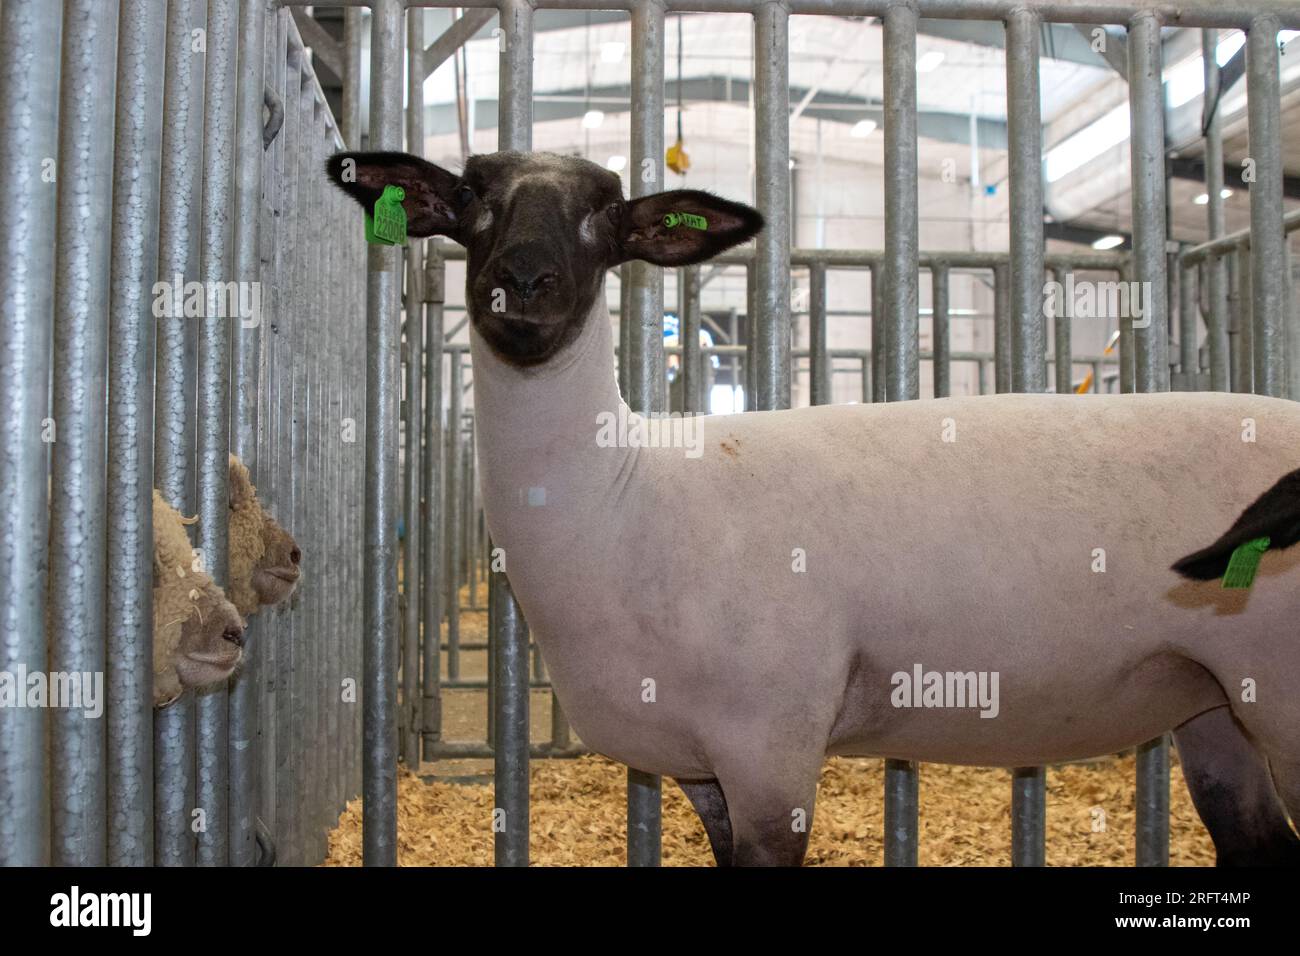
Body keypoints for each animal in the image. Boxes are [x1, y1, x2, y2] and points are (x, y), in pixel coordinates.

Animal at [328, 150, 1300, 866]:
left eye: (604, 210)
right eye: (470, 196)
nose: (523, 283)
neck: (624, 498)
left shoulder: (771, 746)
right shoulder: (708, 772)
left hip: (1277, 686)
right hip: (1211, 702)